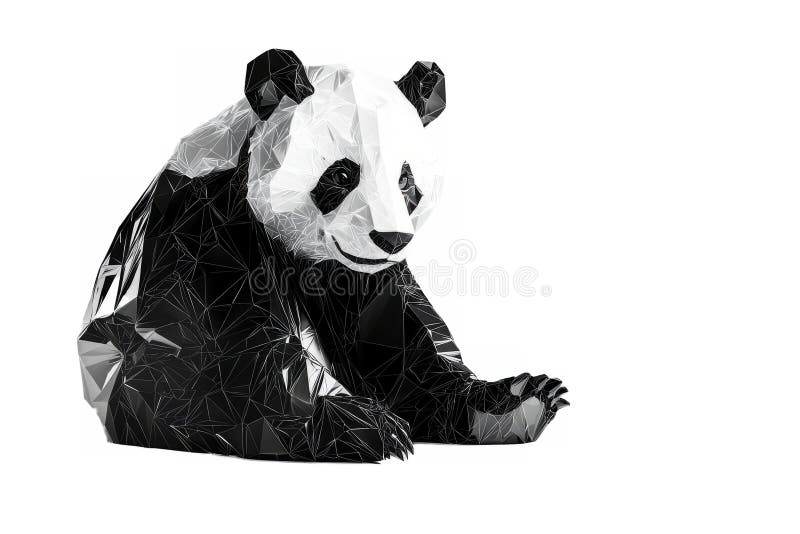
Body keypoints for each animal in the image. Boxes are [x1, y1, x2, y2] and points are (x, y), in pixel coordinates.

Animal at [78, 49, 569, 462]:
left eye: (405, 180)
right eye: (342, 174)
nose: (391, 238)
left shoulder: (358, 271)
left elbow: (397, 336)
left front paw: (519, 401)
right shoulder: (203, 227)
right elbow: (232, 349)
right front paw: (361, 424)